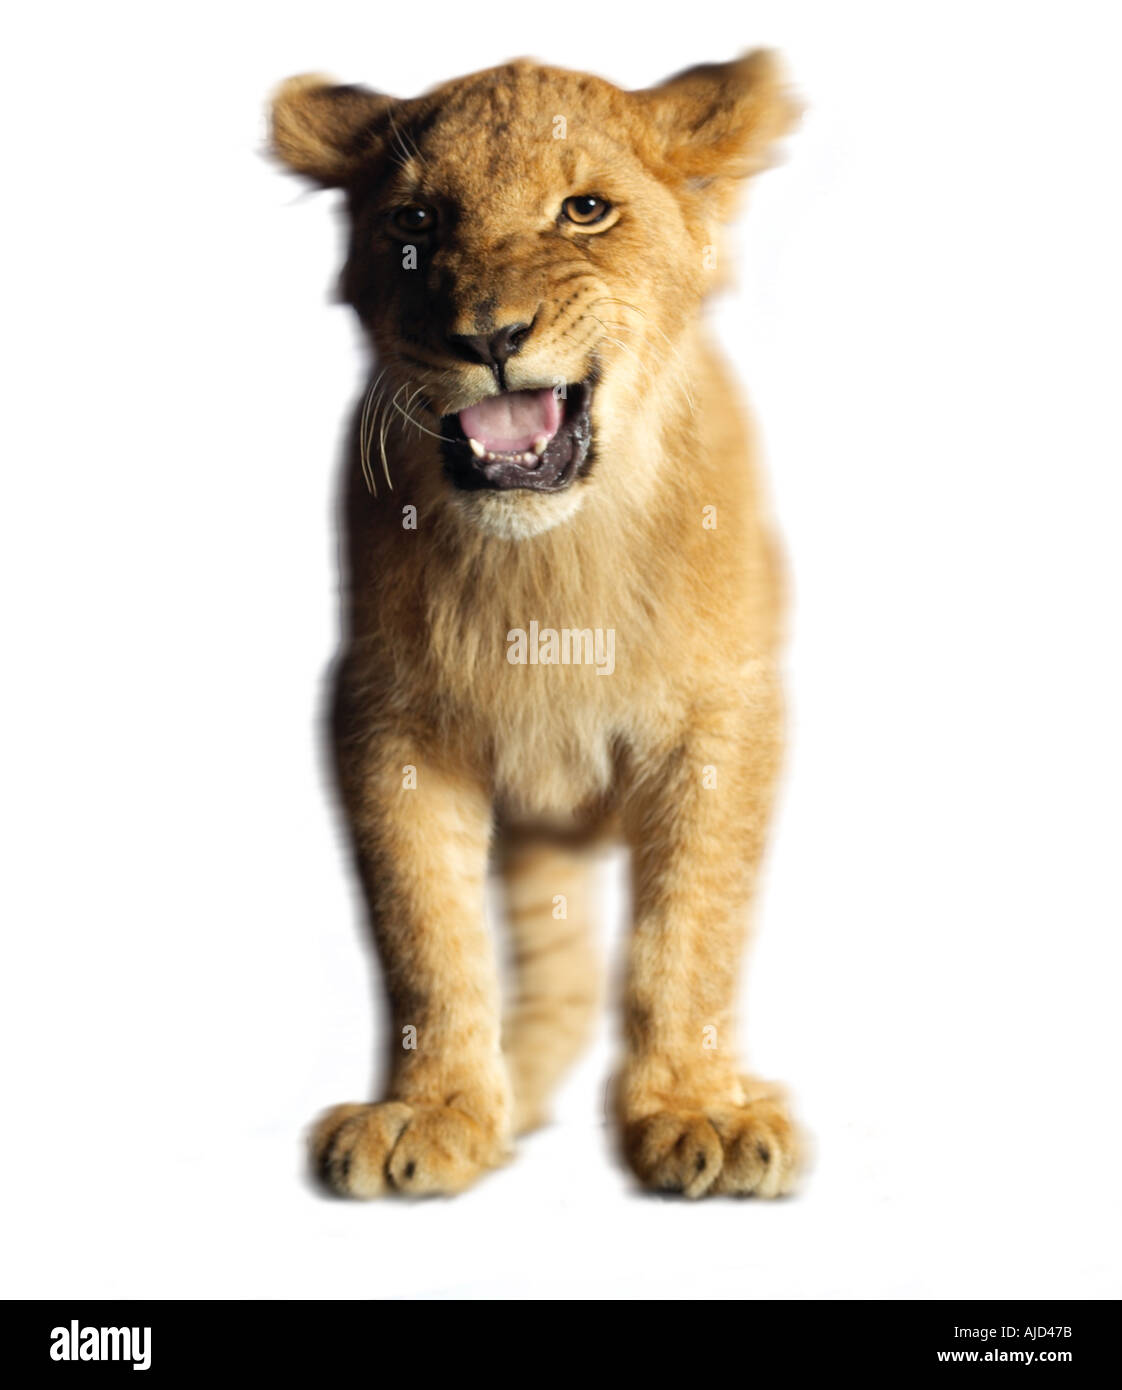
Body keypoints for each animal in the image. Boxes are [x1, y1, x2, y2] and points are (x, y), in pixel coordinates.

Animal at [270, 51, 802, 1199]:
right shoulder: (384, 720)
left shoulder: (724, 716)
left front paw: (696, 1109)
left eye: (586, 211)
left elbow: (690, 927)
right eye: (416, 221)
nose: (488, 337)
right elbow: (425, 935)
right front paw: (434, 1113)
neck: (548, 571)